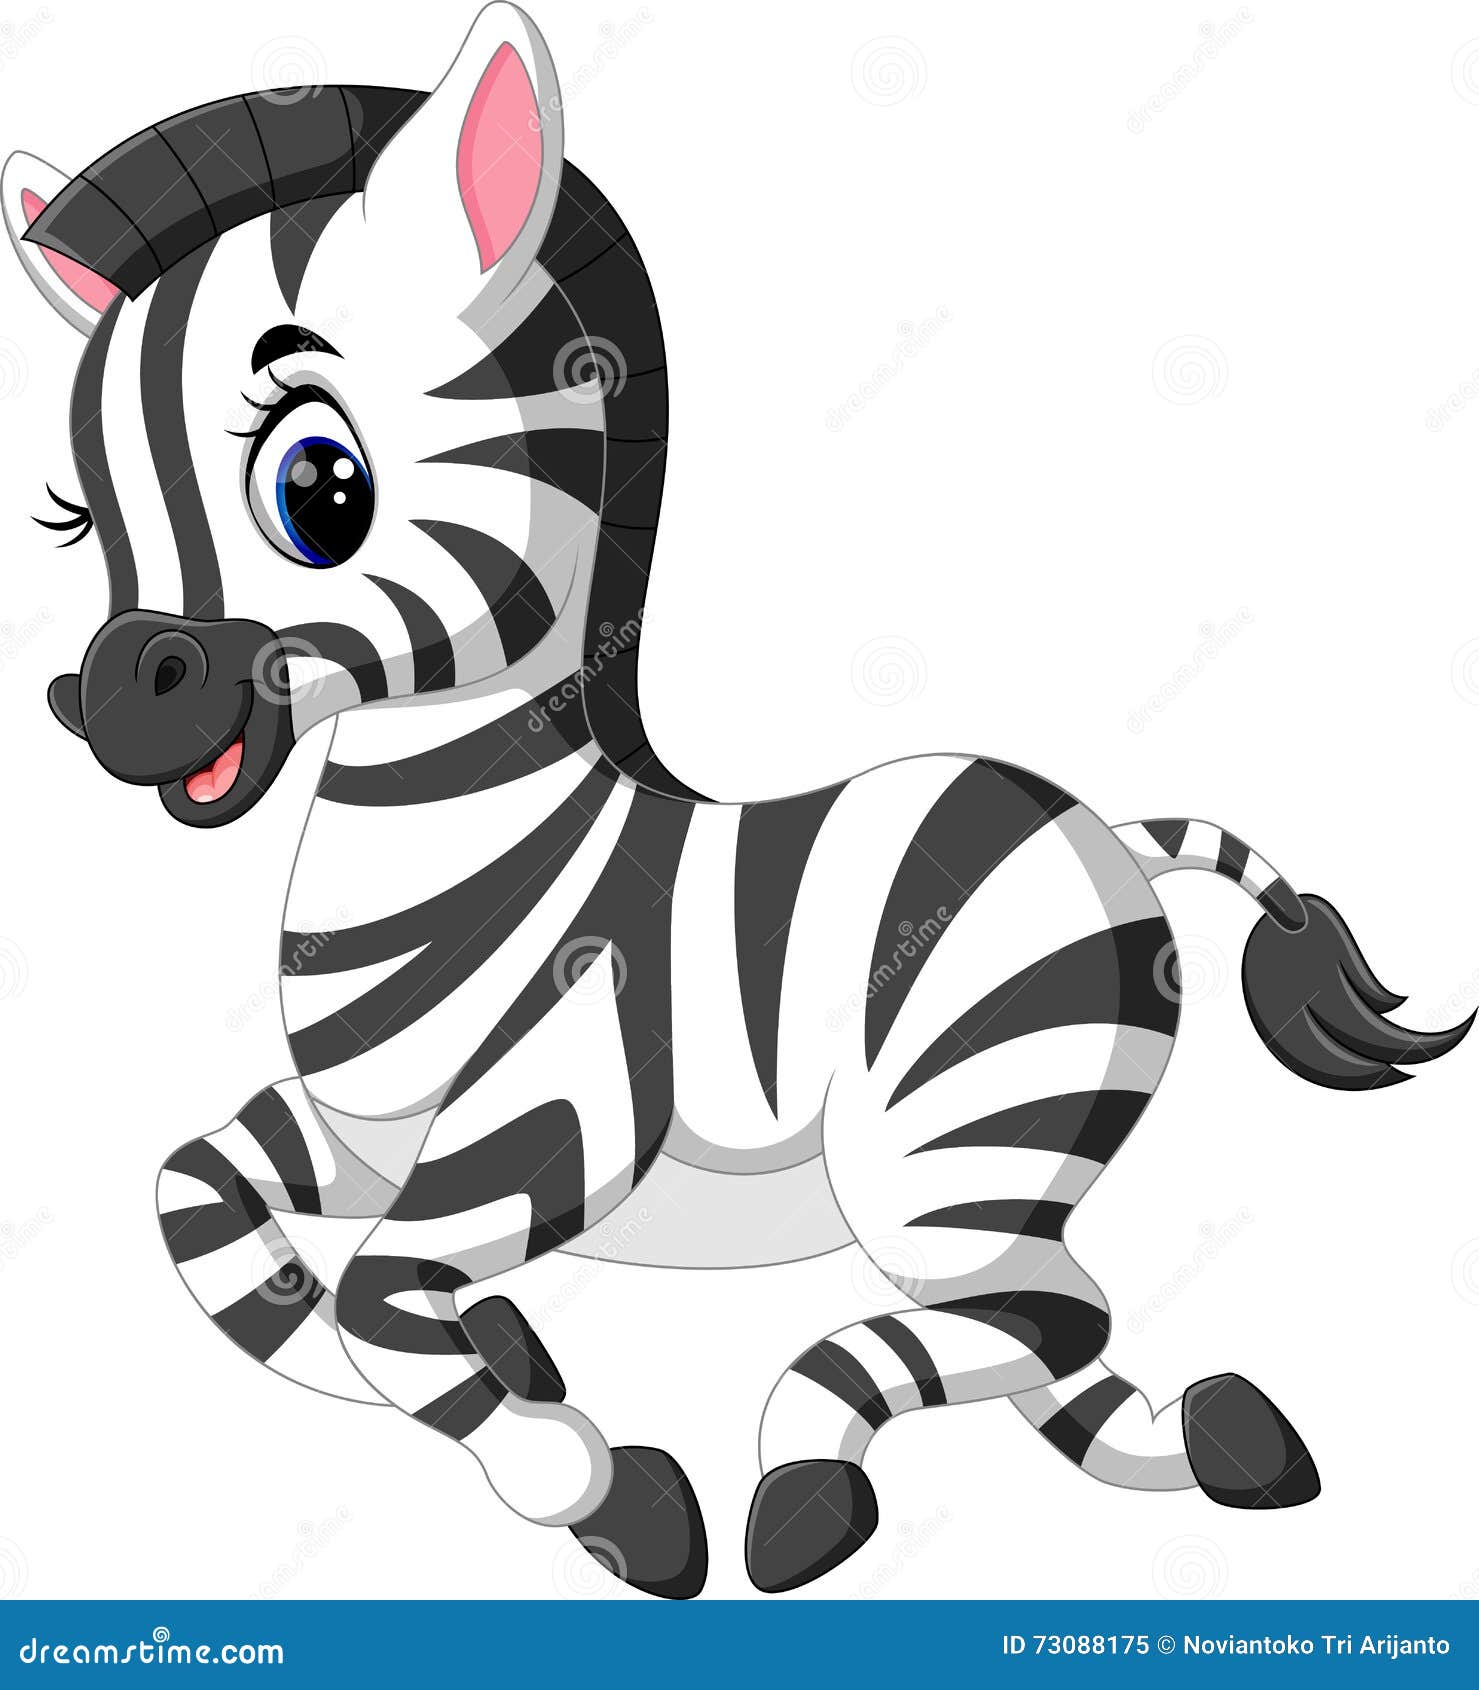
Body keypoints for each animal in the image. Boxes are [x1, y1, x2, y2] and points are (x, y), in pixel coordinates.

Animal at [5, 3, 1470, 1599]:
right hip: (986, 1173)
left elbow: (381, 1298)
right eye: (80, 514)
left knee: (1042, 1315)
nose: (117, 703)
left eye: (319, 486)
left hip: (941, 1146)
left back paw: (809, 1481)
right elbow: (204, 1214)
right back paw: (1212, 1441)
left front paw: (597, 1482)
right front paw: (522, 1377)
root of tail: (1103, 833)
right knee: (1052, 1333)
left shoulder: (553, 1116)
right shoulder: (358, 1137)